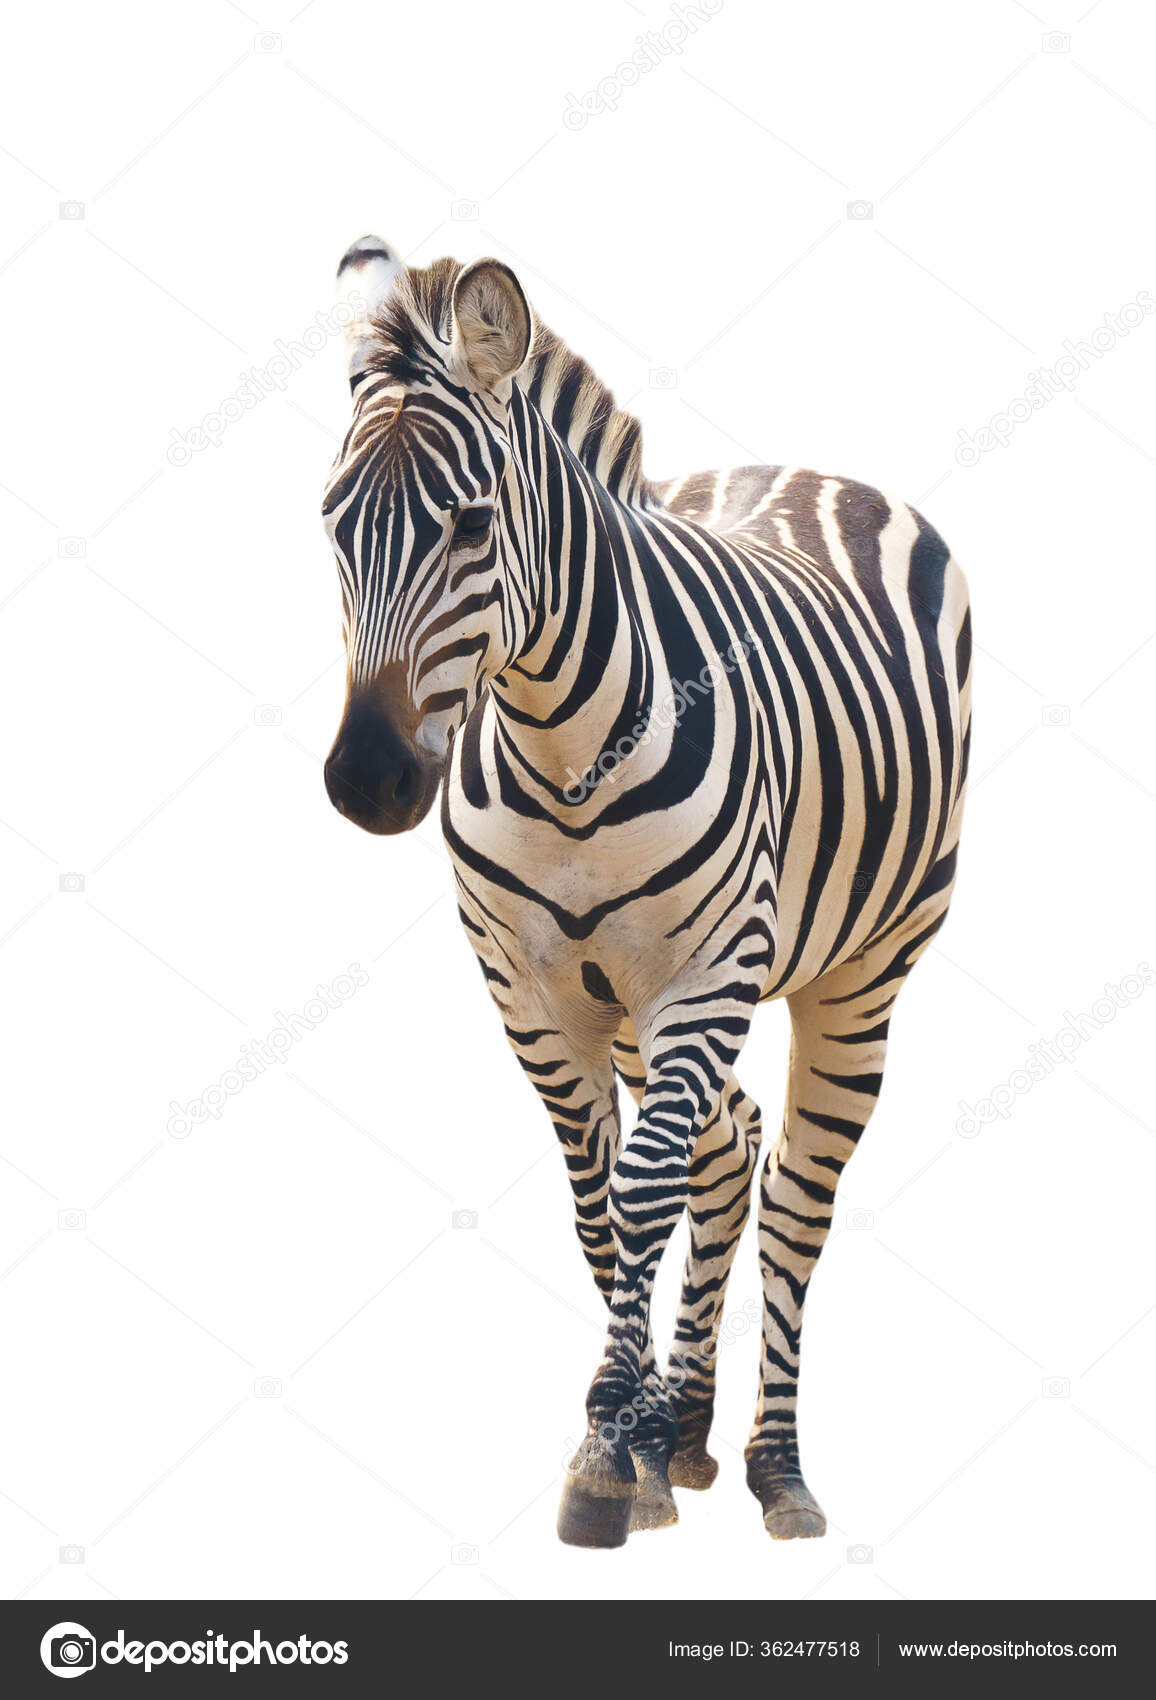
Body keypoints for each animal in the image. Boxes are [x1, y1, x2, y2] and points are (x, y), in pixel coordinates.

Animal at [320, 235, 972, 1548]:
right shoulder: (536, 993)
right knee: (731, 1149)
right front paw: (626, 1441)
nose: (365, 780)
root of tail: (802, 466)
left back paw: (775, 1466)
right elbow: (596, 1203)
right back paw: (684, 1436)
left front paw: (602, 1456)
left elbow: (640, 1192)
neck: (557, 747)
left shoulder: (703, 974)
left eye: (471, 524)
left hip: (853, 976)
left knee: (794, 1200)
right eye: (329, 525)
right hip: (632, 999)